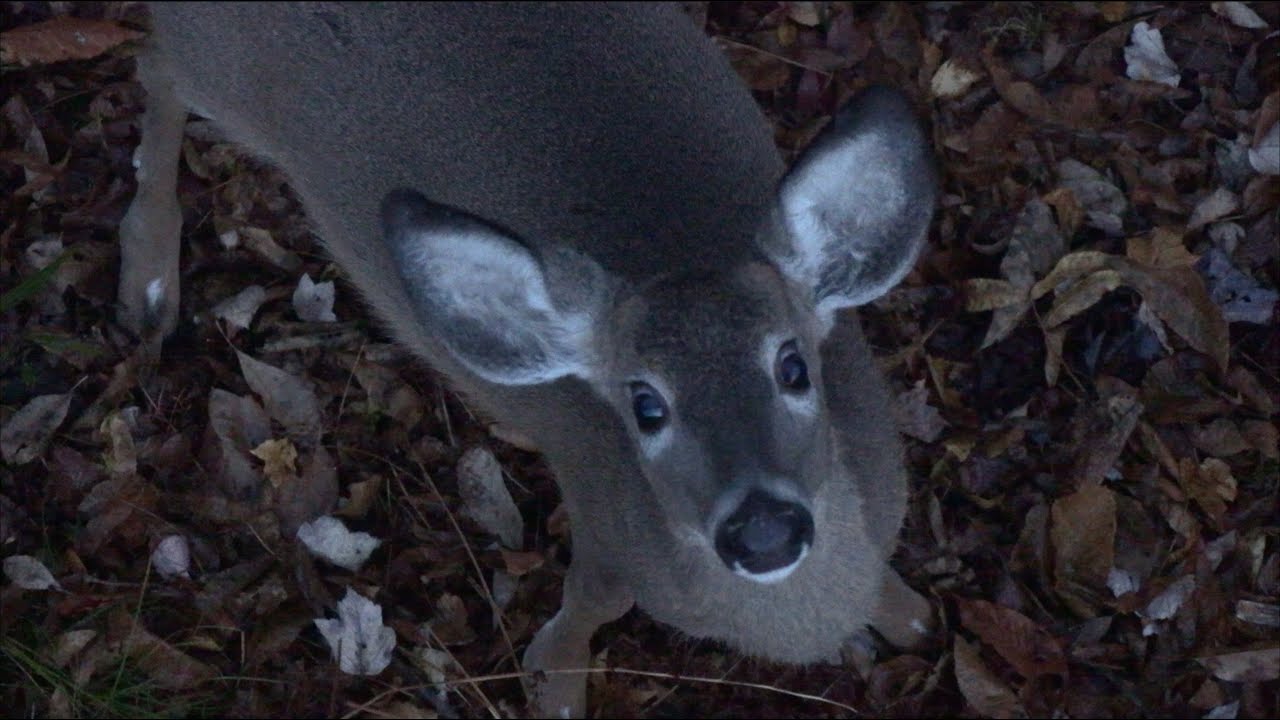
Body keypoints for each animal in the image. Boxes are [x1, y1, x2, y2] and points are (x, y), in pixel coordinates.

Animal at [120, 3, 938, 716]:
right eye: (645, 405)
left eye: (793, 365)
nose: (763, 527)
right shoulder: (605, 523)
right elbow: (593, 602)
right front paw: (557, 682)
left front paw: (912, 618)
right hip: (218, 63)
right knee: (154, 66)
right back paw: (149, 282)